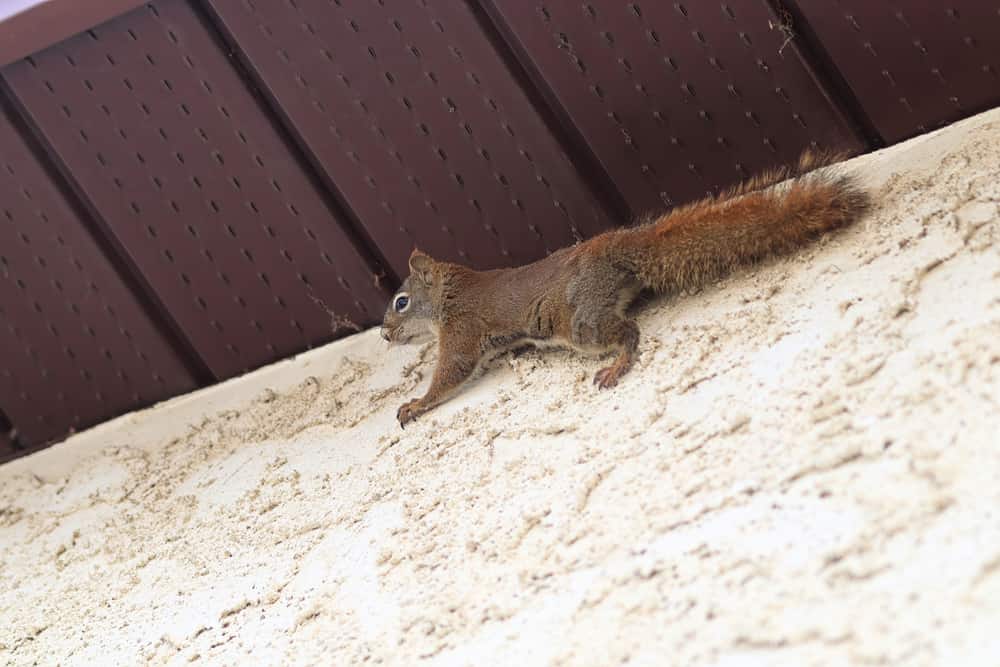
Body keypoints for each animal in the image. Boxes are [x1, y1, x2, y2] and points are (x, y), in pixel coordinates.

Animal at [381, 151, 870, 427]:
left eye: (401, 302)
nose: (385, 334)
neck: (447, 293)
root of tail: (620, 247)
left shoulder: (462, 328)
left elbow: (452, 372)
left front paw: (416, 404)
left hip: (578, 320)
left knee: (627, 332)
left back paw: (617, 365)